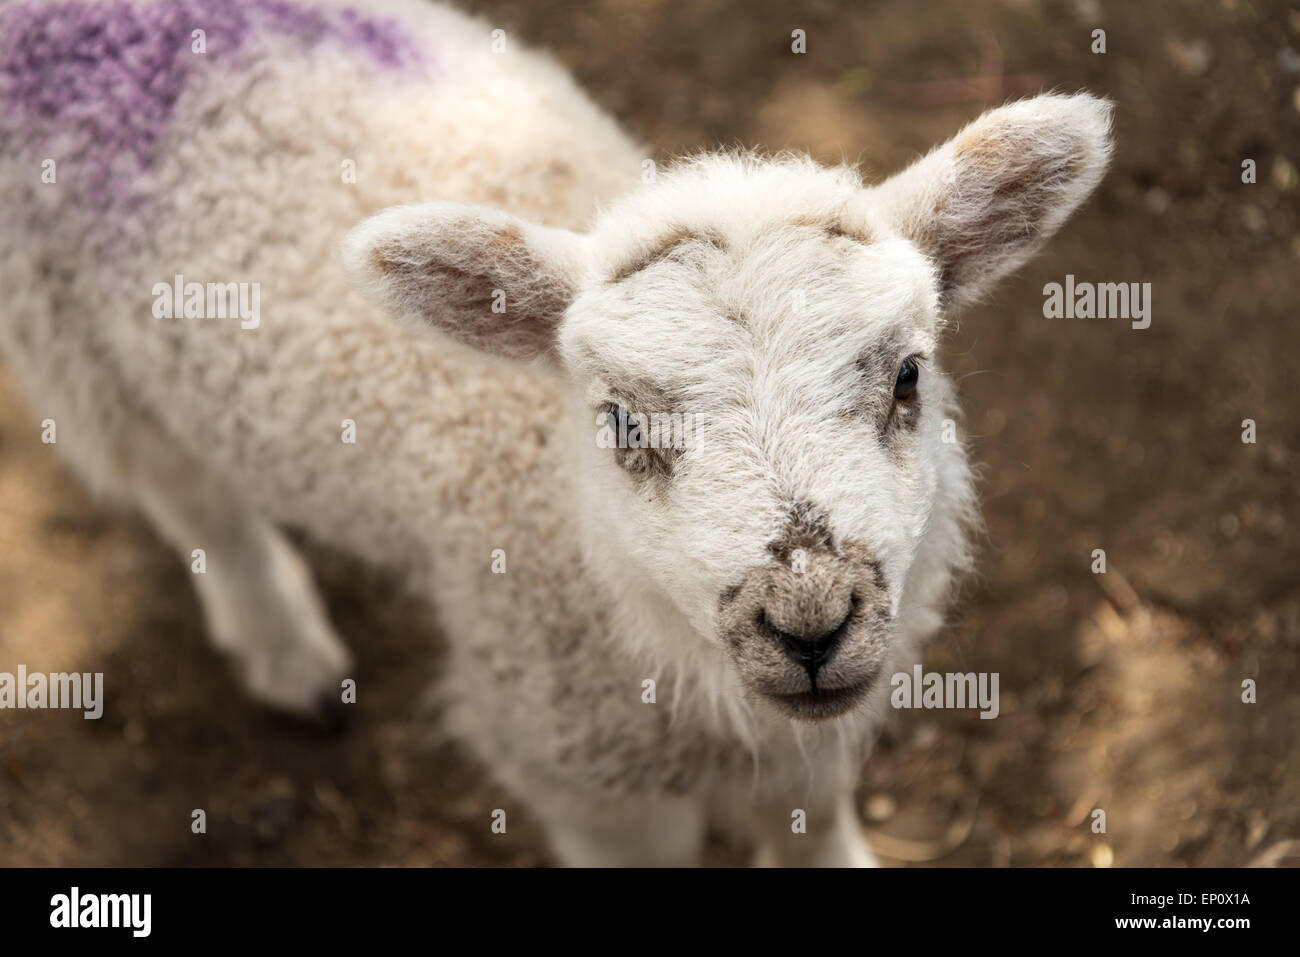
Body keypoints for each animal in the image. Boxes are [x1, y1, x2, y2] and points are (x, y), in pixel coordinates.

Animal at [0, 0, 1112, 866]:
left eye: (908, 375)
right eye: (618, 419)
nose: (809, 624)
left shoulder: (811, 749)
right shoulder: (587, 778)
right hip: (79, 350)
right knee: (196, 504)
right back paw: (286, 652)